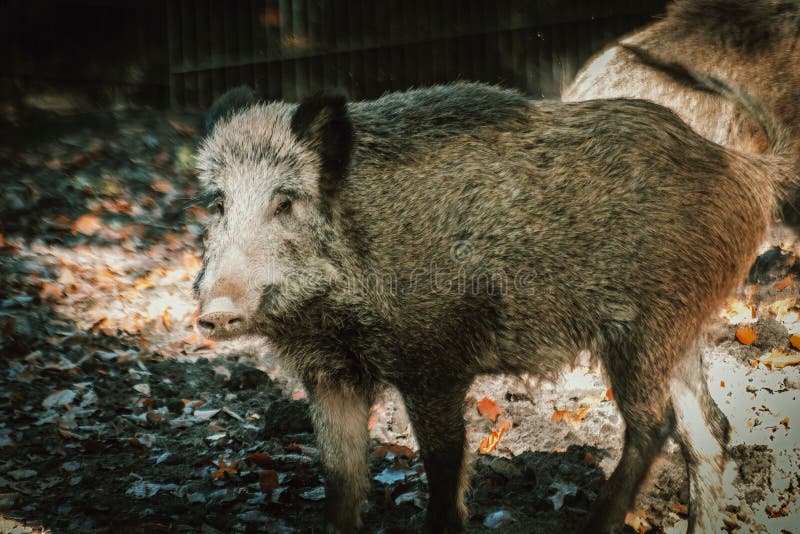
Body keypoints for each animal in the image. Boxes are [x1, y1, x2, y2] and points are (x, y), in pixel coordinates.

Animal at [193, 81, 792, 533]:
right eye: (218, 205)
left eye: (285, 203)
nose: (215, 311)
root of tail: (747, 171)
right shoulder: (329, 375)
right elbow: (340, 482)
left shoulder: (434, 362)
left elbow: (444, 465)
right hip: (682, 329)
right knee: (709, 431)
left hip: (644, 327)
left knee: (656, 424)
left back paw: (595, 524)